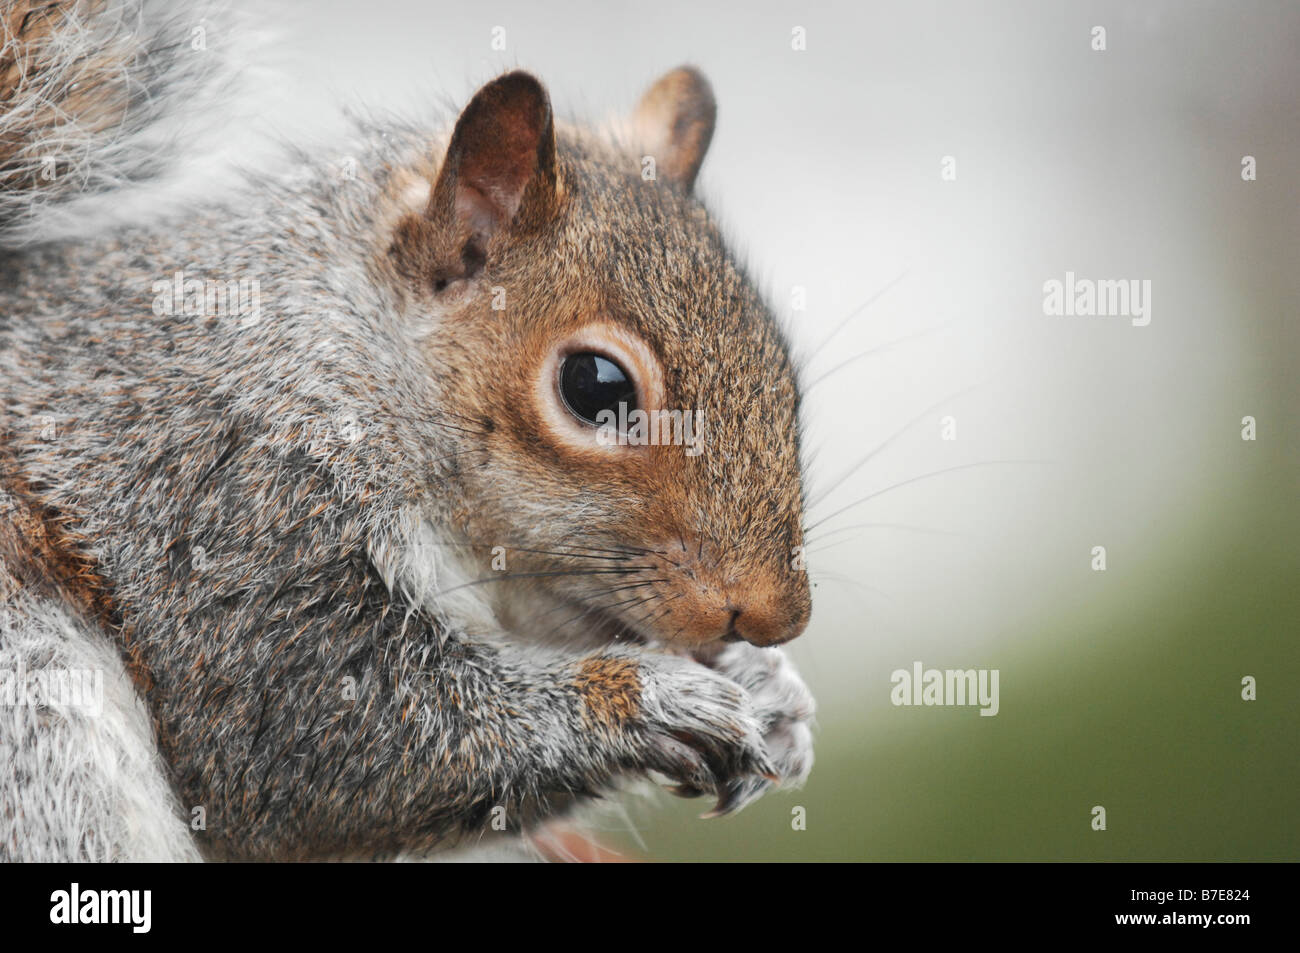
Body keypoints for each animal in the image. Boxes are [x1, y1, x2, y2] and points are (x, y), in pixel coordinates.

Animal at [0, 0, 815, 861]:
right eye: (595, 386)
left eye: (783, 366)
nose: (776, 616)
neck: (347, 358)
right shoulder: (219, 502)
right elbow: (324, 742)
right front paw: (650, 697)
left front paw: (774, 694)